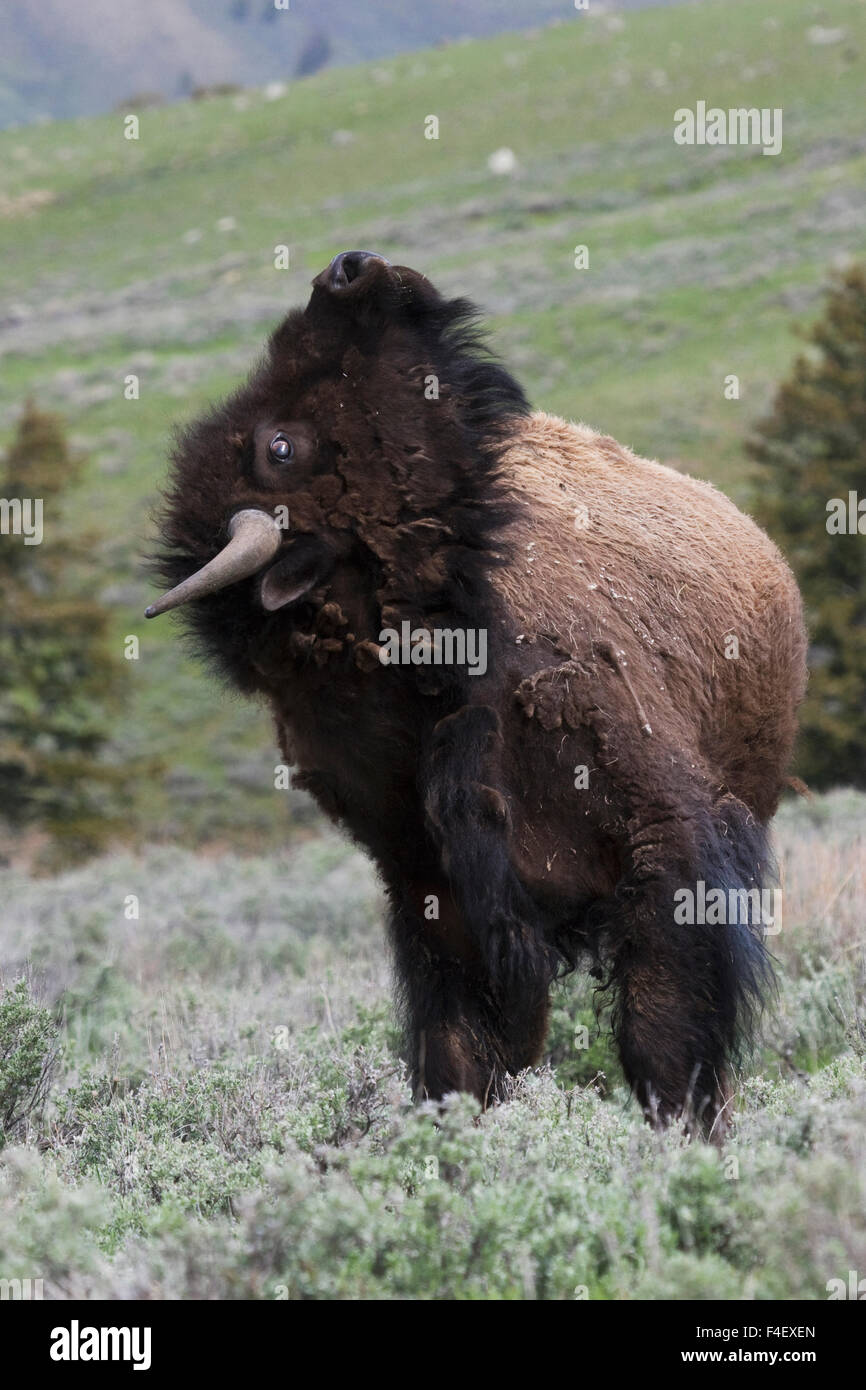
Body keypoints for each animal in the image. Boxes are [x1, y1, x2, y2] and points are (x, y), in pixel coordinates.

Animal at [147, 251, 808, 1137]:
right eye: (279, 445)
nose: (352, 270)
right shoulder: (438, 894)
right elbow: (465, 1050)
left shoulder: (664, 846)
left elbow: (660, 1031)